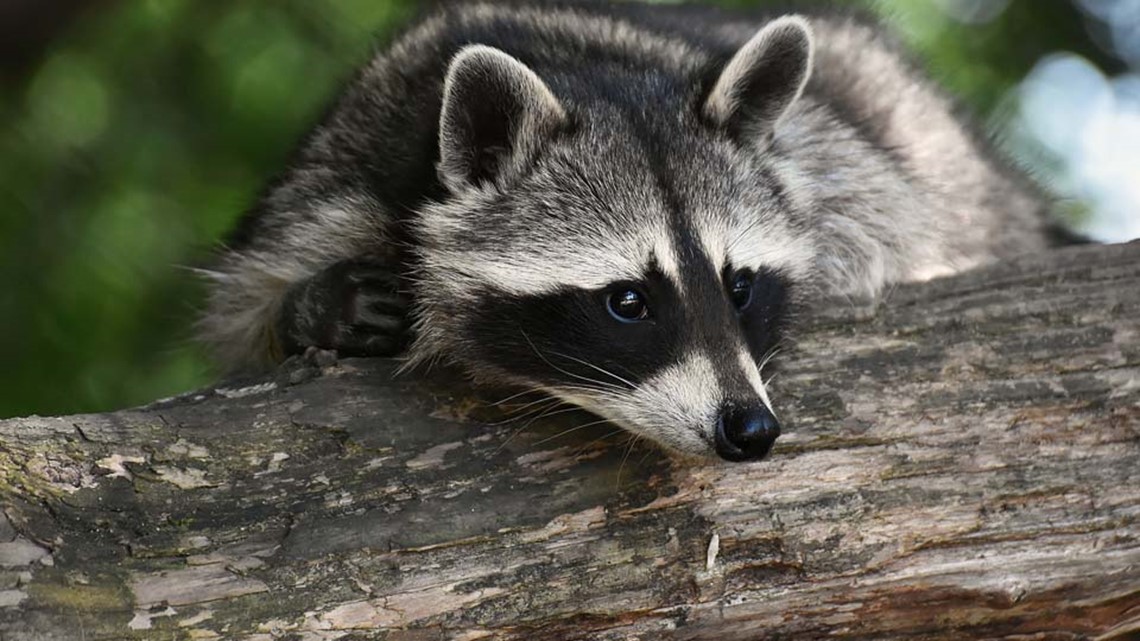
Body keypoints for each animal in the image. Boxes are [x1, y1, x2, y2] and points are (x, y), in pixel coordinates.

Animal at [200, 1, 1055, 462]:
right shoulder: (338, 173)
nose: (750, 428)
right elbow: (247, 306)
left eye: (739, 286)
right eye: (628, 302)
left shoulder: (842, 163)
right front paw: (315, 307)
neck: (585, 70)